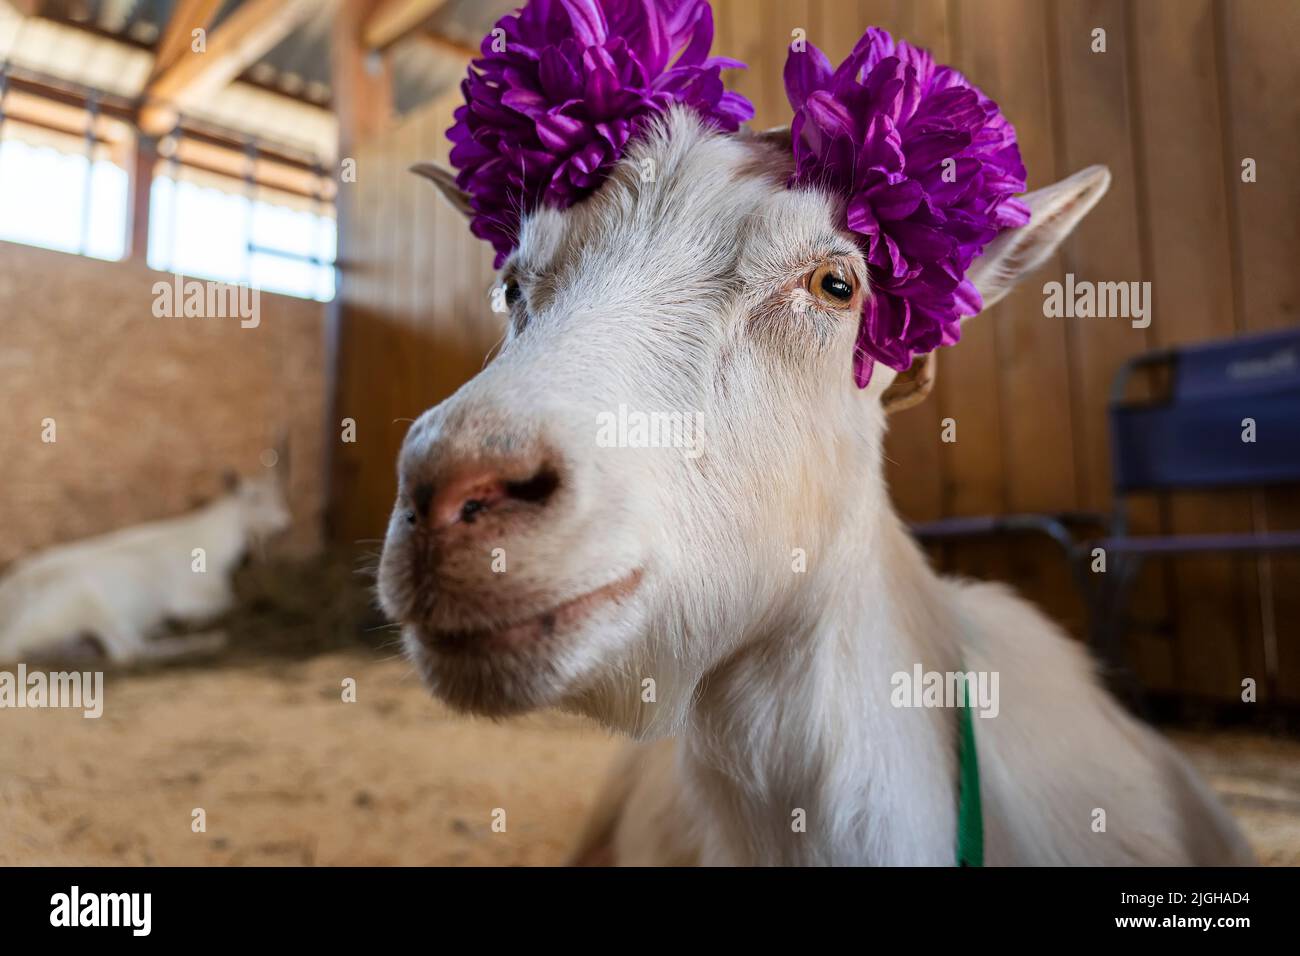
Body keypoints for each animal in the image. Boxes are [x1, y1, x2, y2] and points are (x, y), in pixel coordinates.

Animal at [0, 471, 289, 664]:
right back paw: (208, 639)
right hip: (88, 606)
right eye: (254, 499)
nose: (285, 524)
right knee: (129, 651)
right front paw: (188, 621)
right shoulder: (195, 595)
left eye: (280, 496)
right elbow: (229, 601)